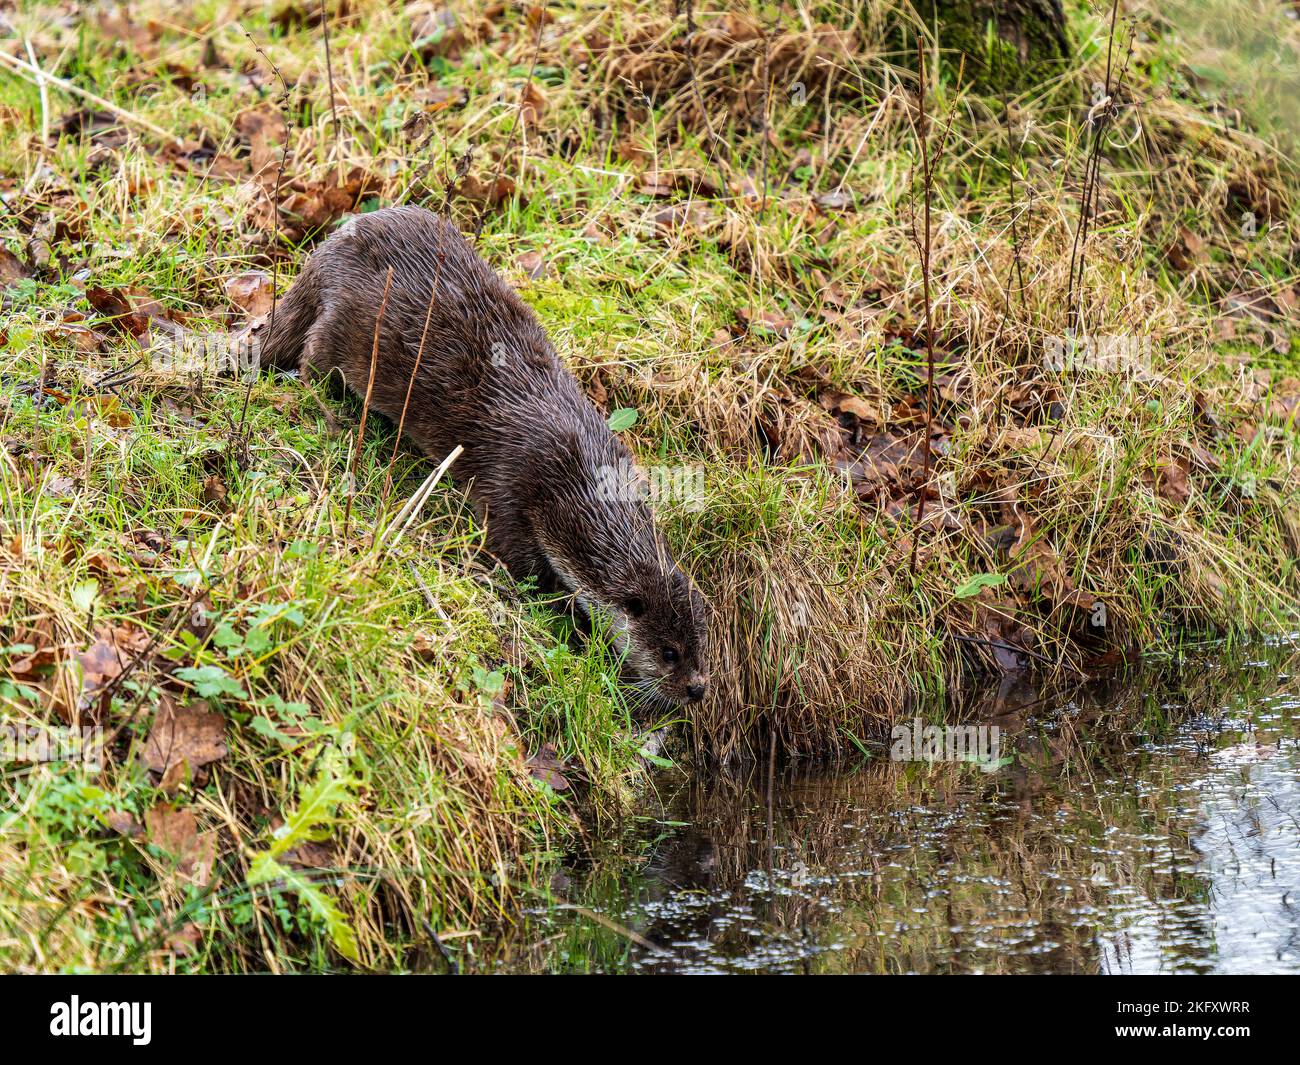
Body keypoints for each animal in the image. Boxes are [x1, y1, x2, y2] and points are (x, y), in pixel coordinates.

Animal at [256, 206, 708, 706]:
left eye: (700, 646)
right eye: (669, 652)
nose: (698, 689)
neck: (576, 478)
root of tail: (326, 253)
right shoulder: (511, 486)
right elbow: (518, 559)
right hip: (349, 331)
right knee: (312, 356)